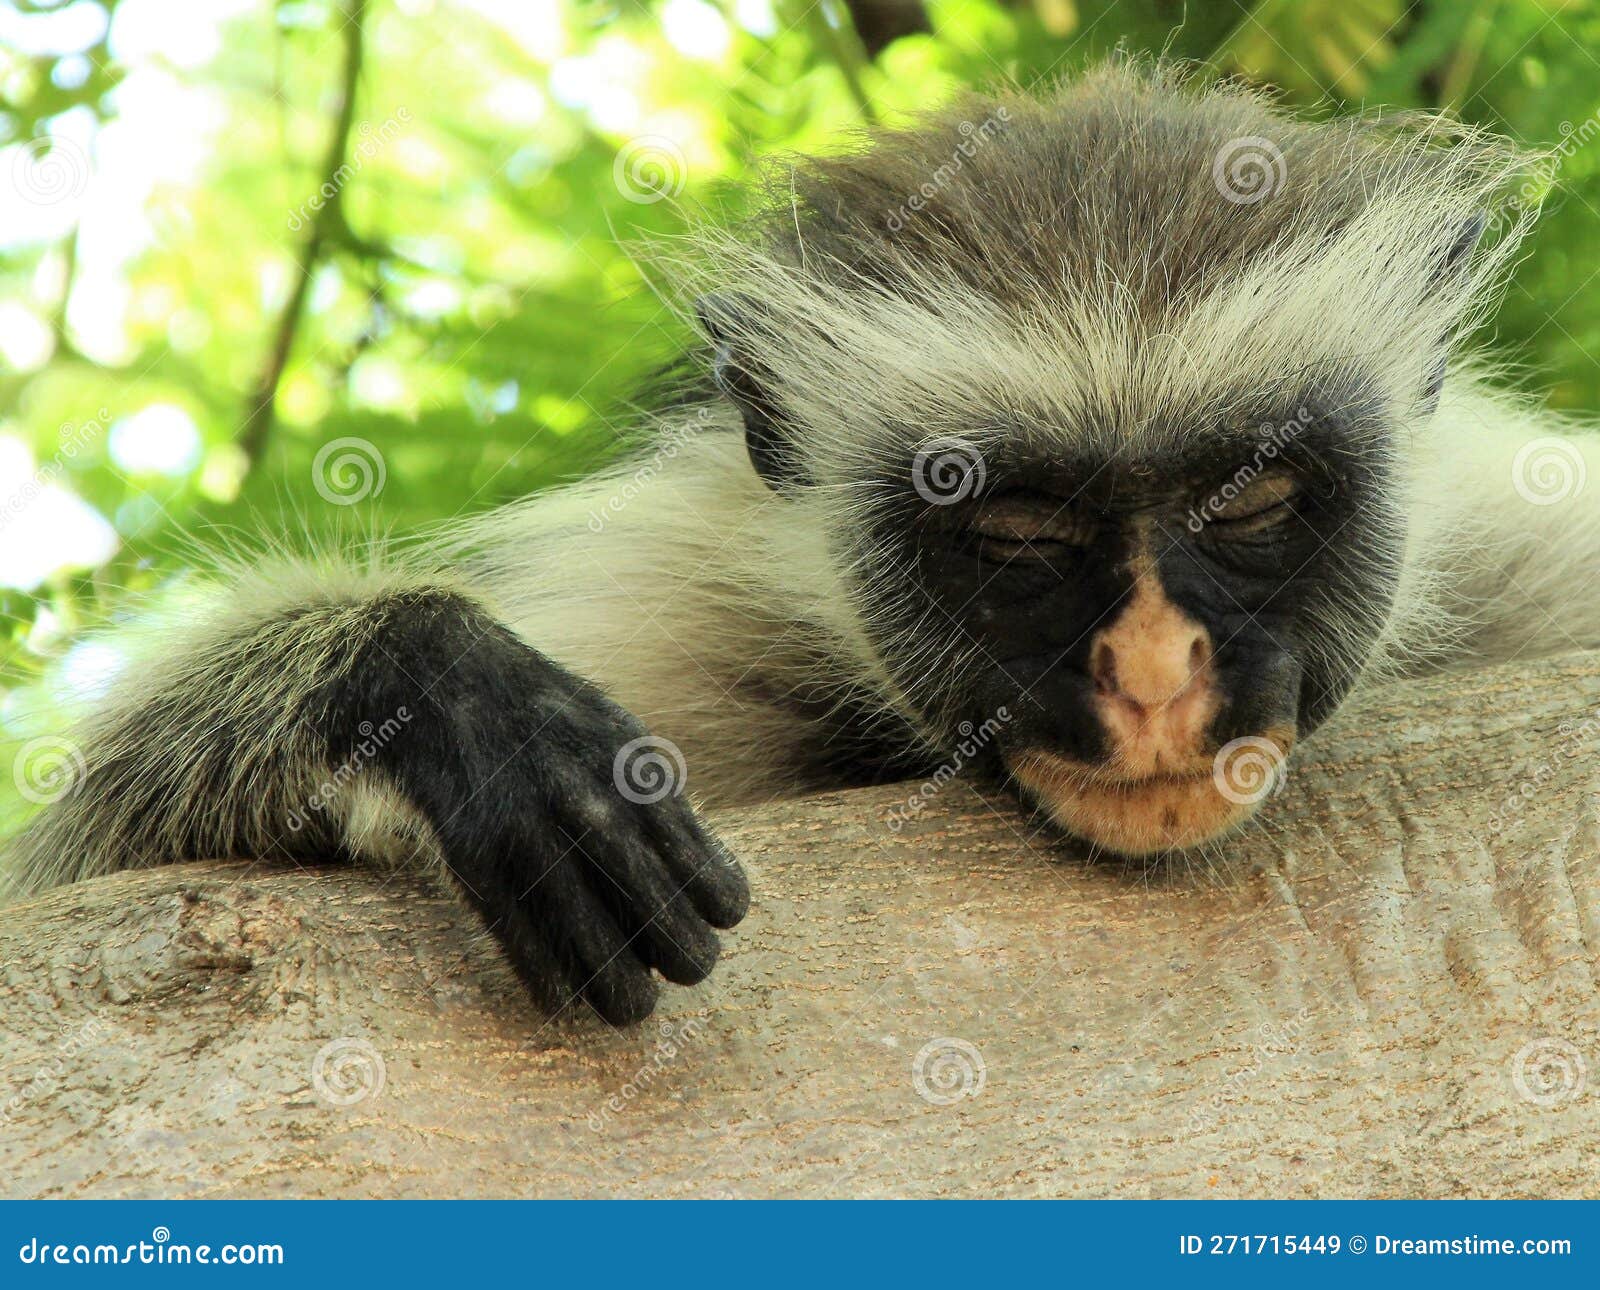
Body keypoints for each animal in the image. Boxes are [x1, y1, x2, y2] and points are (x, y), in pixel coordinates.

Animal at [5, 61, 1599, 1025]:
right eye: (1009, 533)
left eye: (1253, 507)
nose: (1155, 678)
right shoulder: (673, 635)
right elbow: (79, 900)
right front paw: (429, 677)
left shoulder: (1532, 559)